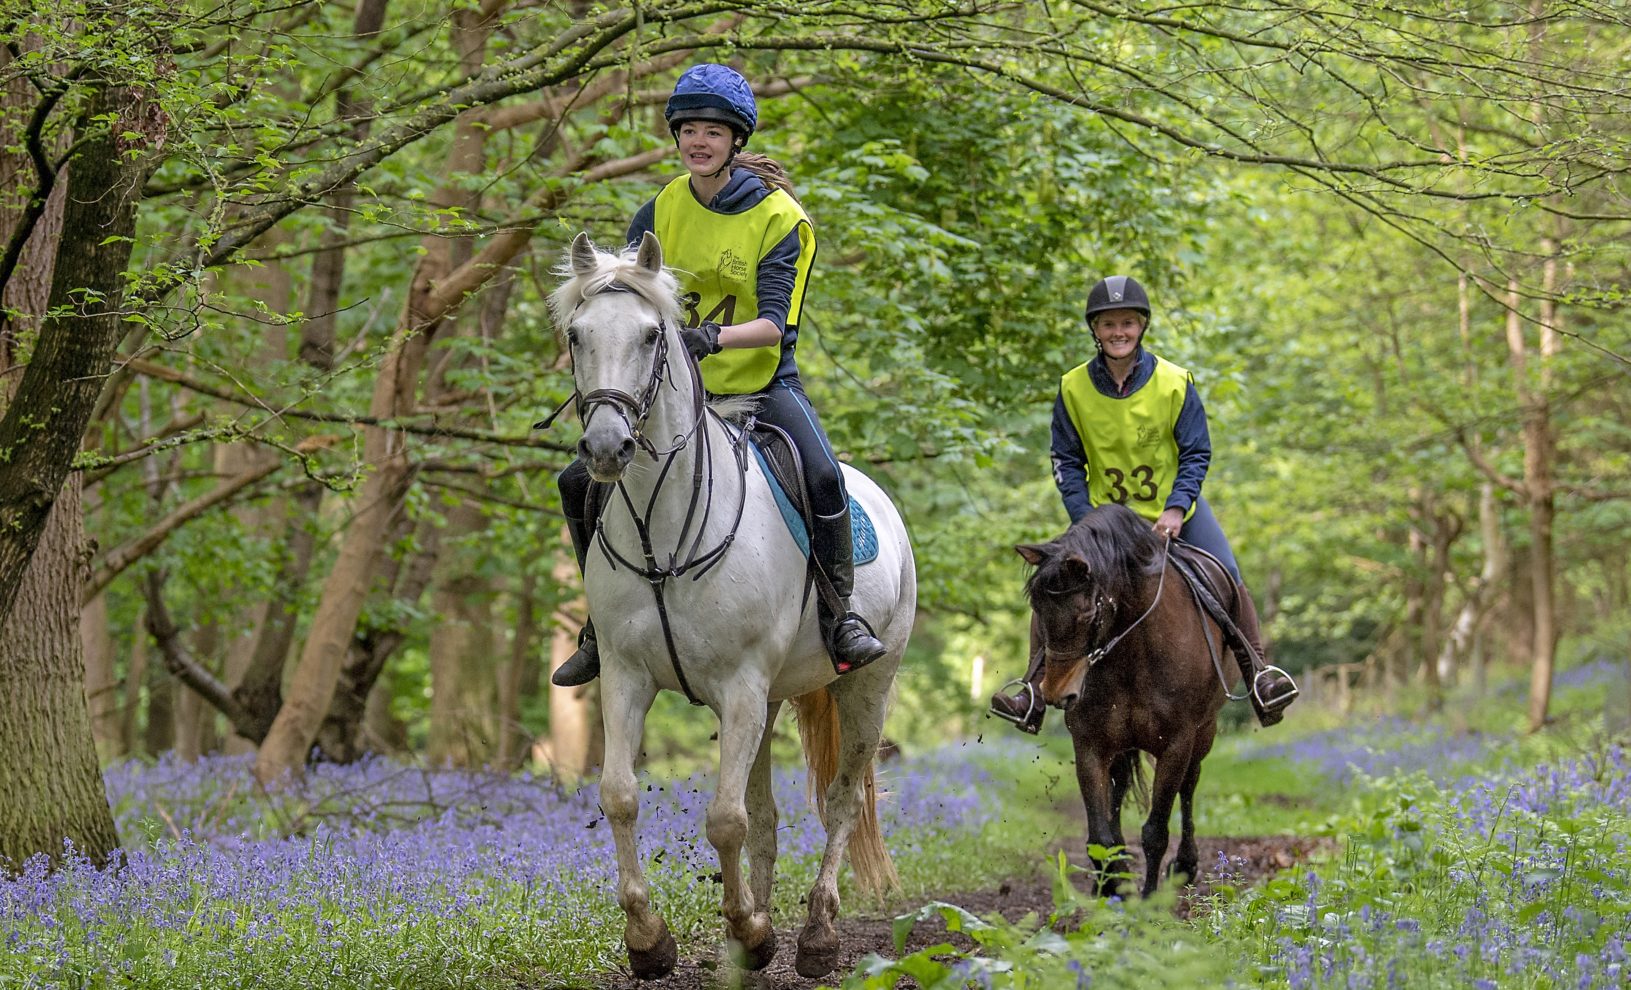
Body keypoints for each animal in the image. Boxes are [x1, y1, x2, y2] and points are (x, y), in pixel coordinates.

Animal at [550, 232, 916, 980]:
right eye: (576, 334)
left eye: (653, 334)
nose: (606, 447)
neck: (663, 533)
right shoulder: (628, 676)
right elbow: (621, 796)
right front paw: (652, 941)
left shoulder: (740, 684)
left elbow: (724, 820)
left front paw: (749, 928)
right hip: (771, 700)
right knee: (767, 812)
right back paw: (757, 937)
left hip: (867, 684)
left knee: (840, 801)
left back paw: (814, 936)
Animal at [1017, 502, 1242, 897]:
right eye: (1038, 610)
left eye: (1088, 614)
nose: (1056, 692)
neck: (1133, 653)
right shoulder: (1090, 744)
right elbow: (1099, 832)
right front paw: (1110, 887)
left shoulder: (1177, 743)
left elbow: (1155, 832)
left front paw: (1149, 899)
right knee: (1119, 785)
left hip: (1204, 730)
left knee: (1190, 783)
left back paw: (1185, 865)